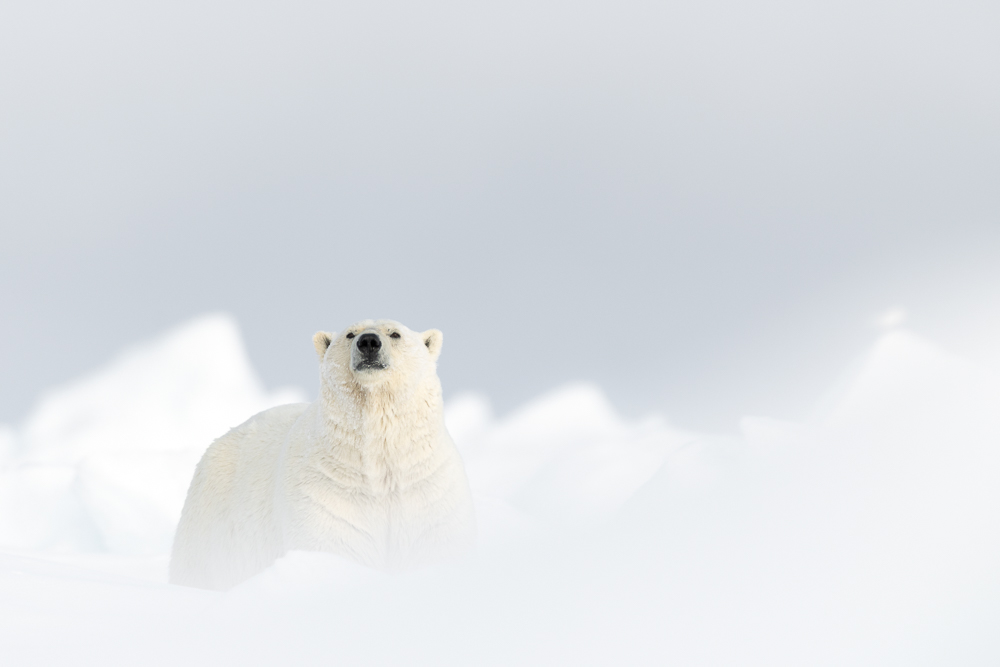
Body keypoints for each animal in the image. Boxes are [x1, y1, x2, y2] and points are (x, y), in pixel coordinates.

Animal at [169, 320, 476, 591]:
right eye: (350, 334)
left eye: (395, 333)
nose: (369, 342)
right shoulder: (327, 492)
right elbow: (334, 546)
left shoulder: (427, 489)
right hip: (211, 521)